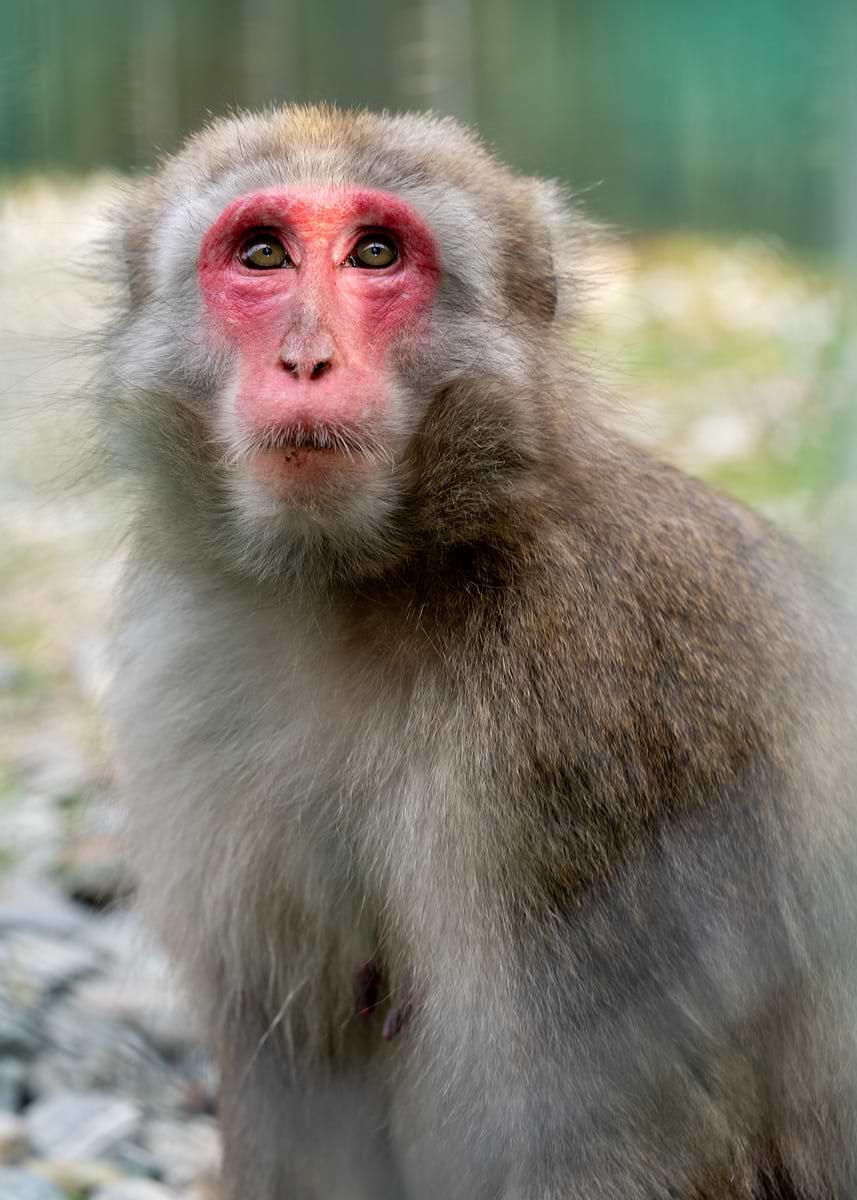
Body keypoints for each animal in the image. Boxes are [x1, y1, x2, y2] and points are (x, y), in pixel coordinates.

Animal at [97, 104, 857, 1199]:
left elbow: (611, 1141)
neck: (361, 593)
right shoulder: (192, 681)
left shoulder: (582, 732)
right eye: (262, 254)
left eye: (375, 254)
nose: (305, 361)